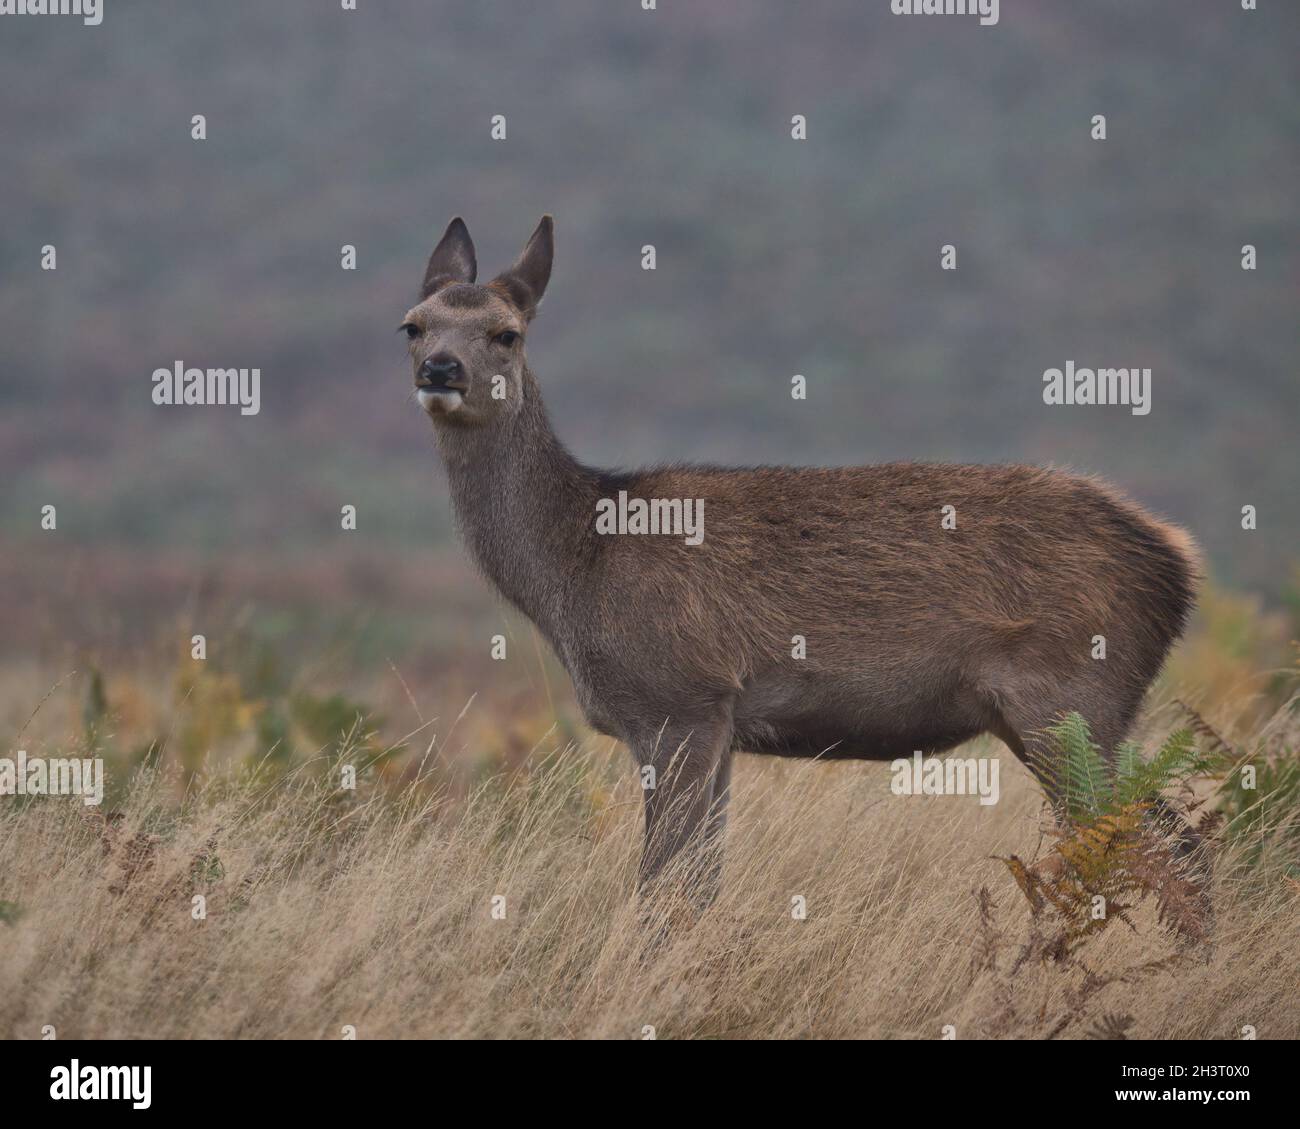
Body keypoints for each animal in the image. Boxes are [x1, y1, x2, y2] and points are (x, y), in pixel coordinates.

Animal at [401, 215, 1201, 898]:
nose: (439, 369)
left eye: (506, 334)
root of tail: (1176, 566)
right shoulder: (716, 724)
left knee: (1165, 845)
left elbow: (663, 888)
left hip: (1070, 696)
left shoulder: (678, 699)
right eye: (412, 325)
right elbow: (700, 884)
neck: (575, 569)